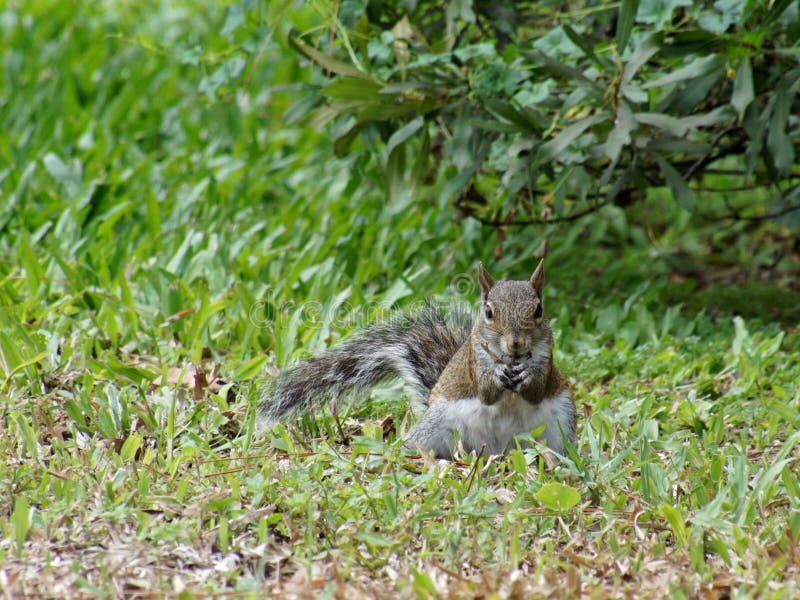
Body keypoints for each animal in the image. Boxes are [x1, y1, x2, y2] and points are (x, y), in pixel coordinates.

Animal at [258, 260, 576, 461]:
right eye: (488, 312)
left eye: (538, 310)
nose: (516, 343)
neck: (511, 360)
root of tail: (497, 451)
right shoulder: (474, 362)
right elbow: (486, 392)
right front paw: (497, 377)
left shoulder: (547, 360)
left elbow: (537, 390)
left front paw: (527, 376)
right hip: (437, 425)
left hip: (558, 426)